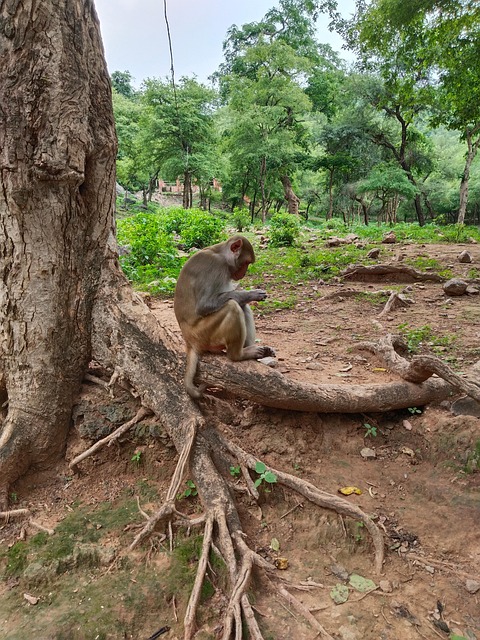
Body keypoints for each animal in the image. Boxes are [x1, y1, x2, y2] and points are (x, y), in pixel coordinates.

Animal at [174, 235, 276, 398]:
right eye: (246, 263)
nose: (244, 273)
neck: (222, 256)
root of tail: (189, 342)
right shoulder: (214, 266)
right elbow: (204, 305)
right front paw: (250, 294)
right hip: (203, 335)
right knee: (232, 306)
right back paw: (238, 355)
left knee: (242, 306)